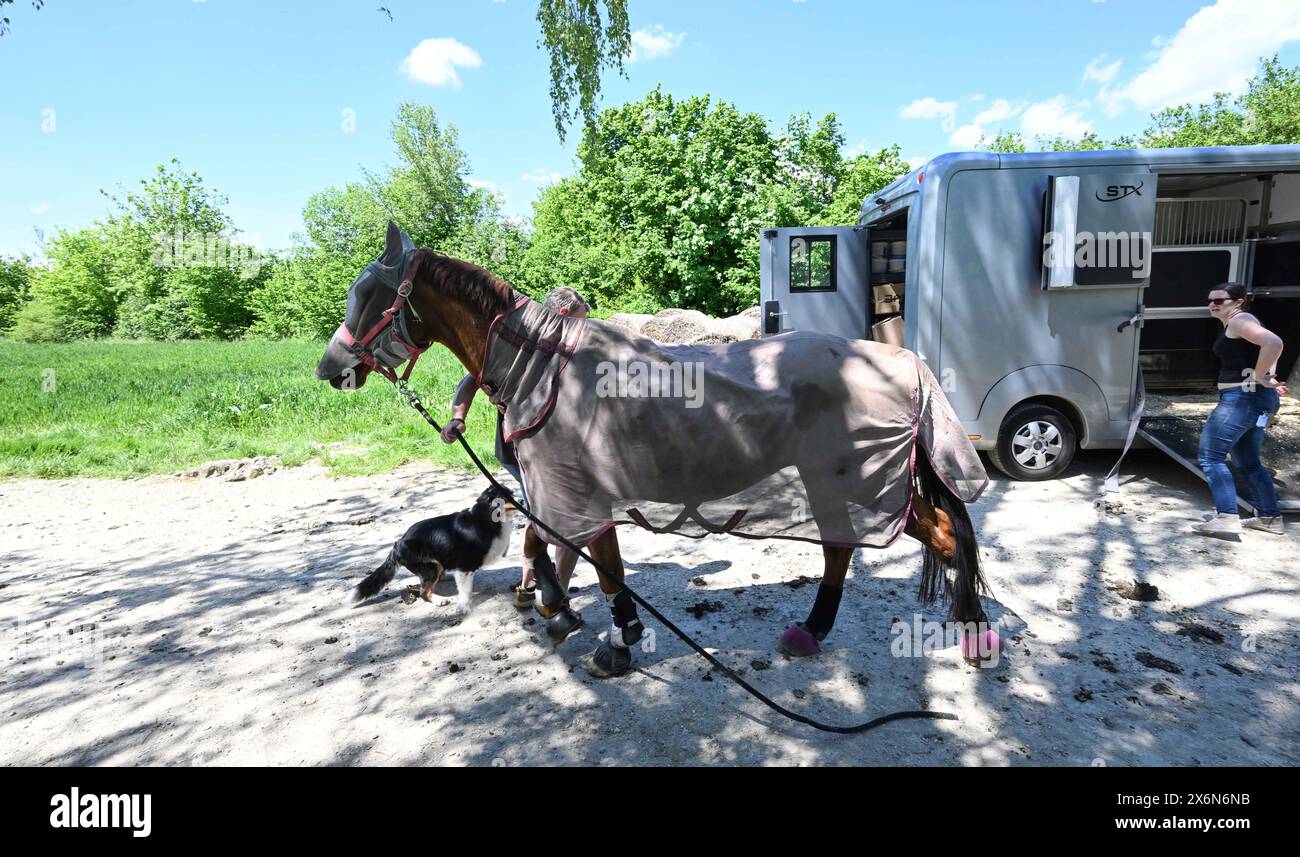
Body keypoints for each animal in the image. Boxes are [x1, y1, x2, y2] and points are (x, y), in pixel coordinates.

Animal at [317, 222, 993, 678]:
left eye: (370, 295)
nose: (330, 368)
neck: (547, 369)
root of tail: (903, 360)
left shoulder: (579, 491)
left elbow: (588, 562)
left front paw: (606, 637)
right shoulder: (573, 493)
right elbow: (558, 551)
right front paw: (565, 611)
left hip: (854, 479)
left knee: (921, 535)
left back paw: (971, 630)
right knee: (857, 545)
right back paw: (820, 630)